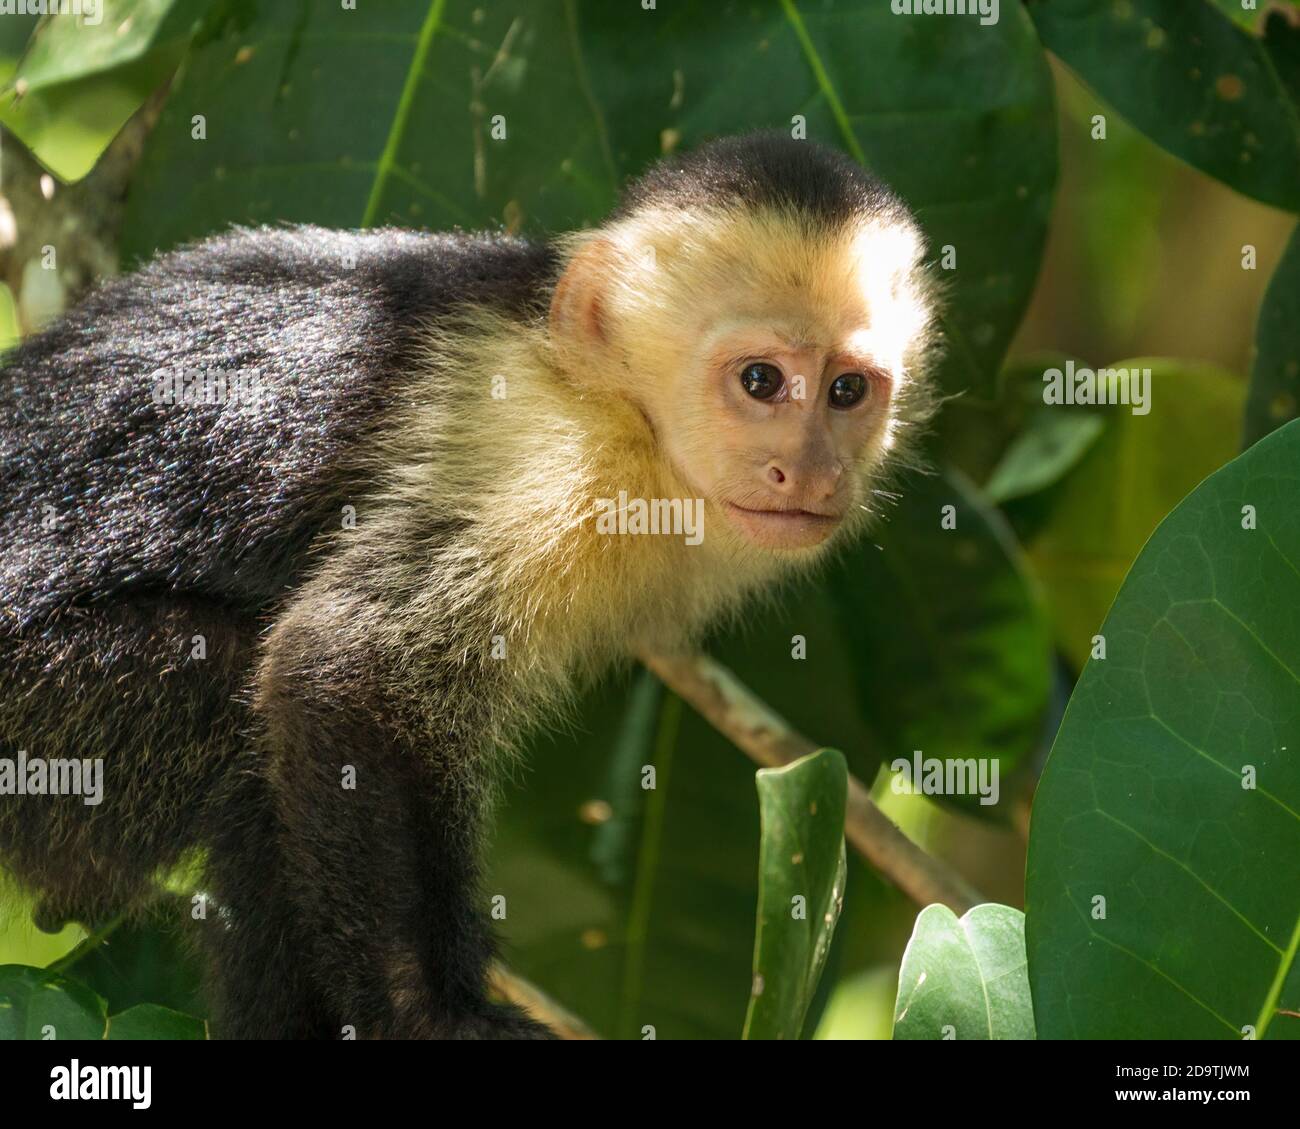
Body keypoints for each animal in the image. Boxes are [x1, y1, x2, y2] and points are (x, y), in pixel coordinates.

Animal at [0, 132, 936, 1039]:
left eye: (848, 390)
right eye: (760, 381)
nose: (809, 471)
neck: (614, 398)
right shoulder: (548, 455)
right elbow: (343, 667)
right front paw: (433, 1013)